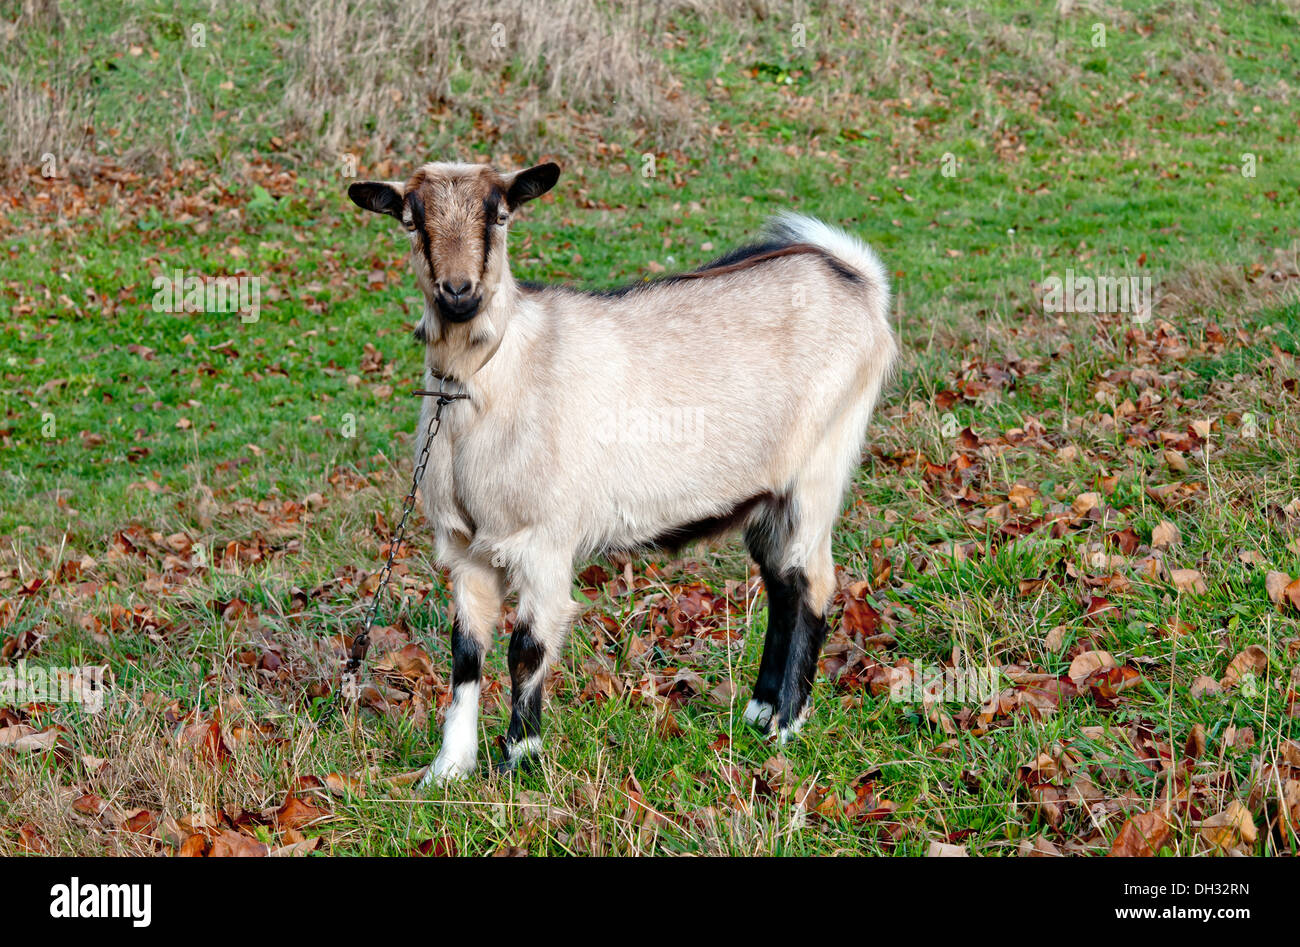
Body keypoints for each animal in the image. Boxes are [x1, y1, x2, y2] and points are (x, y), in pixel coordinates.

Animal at [348, 161, 897, 783]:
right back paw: (759, 712)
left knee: (813, 585)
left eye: (500, 214)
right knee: (782, 584)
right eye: (411, 221)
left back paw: (787, 724)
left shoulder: (544, 540)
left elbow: (526, 650)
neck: (489, 379)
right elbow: (466, 649)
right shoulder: (464, 545)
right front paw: (449, 767)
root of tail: (854, 277)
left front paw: (519, 761)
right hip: (767, 493)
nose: (459, 292)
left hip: (818, 469)